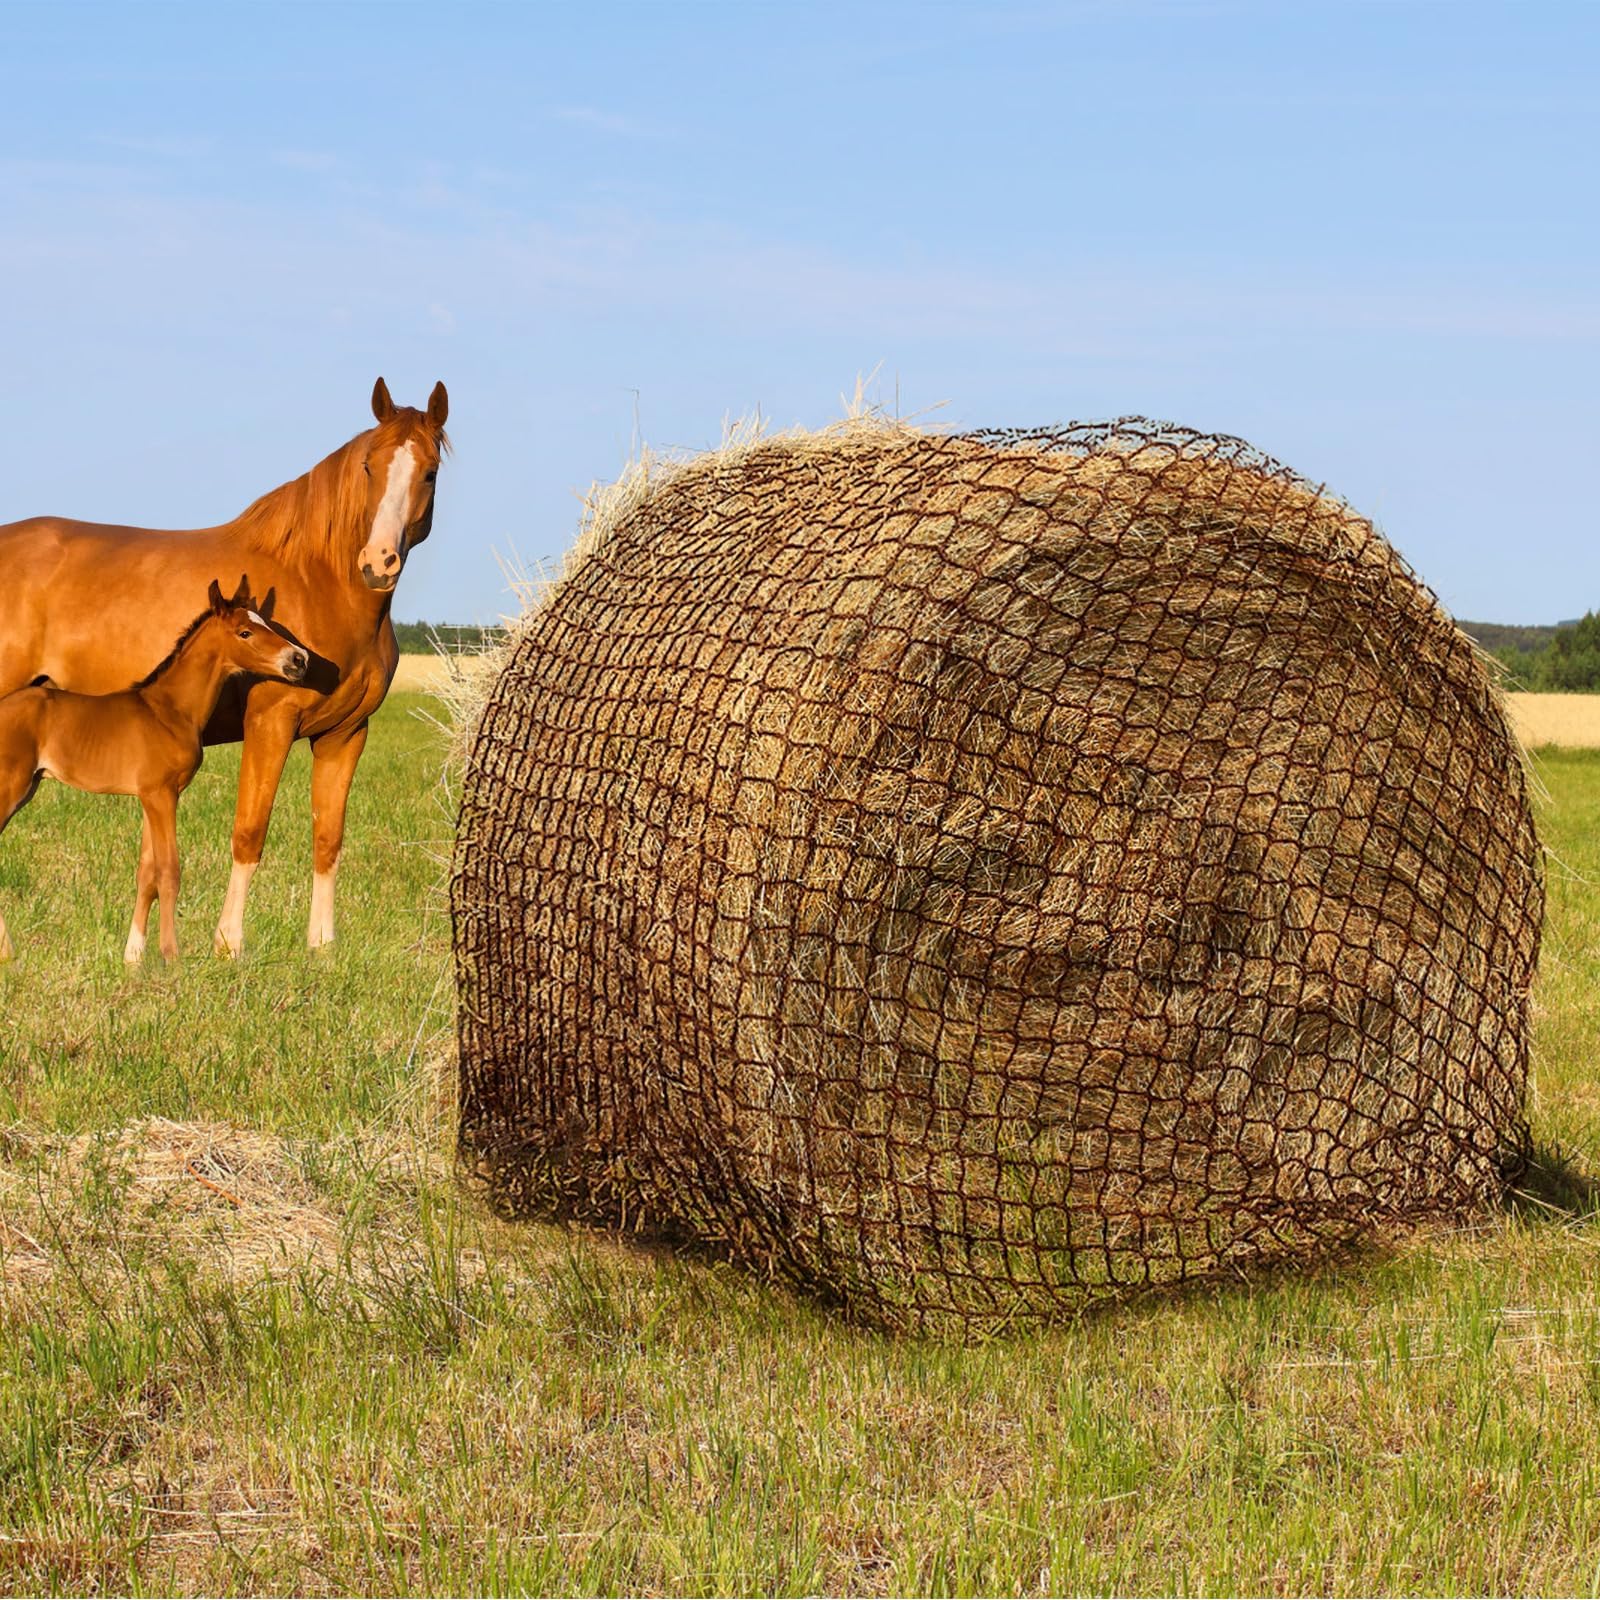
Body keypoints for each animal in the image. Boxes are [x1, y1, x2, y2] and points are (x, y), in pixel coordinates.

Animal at [0, 579, 310, 964]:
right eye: (245, 632)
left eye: (267, 623)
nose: (299, 660)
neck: (170, 711)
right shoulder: (162, 796)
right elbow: (169, 872)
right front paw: (171, 956)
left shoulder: (150, 797)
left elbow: (147, 873)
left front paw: (134, 958)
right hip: (9, 787)